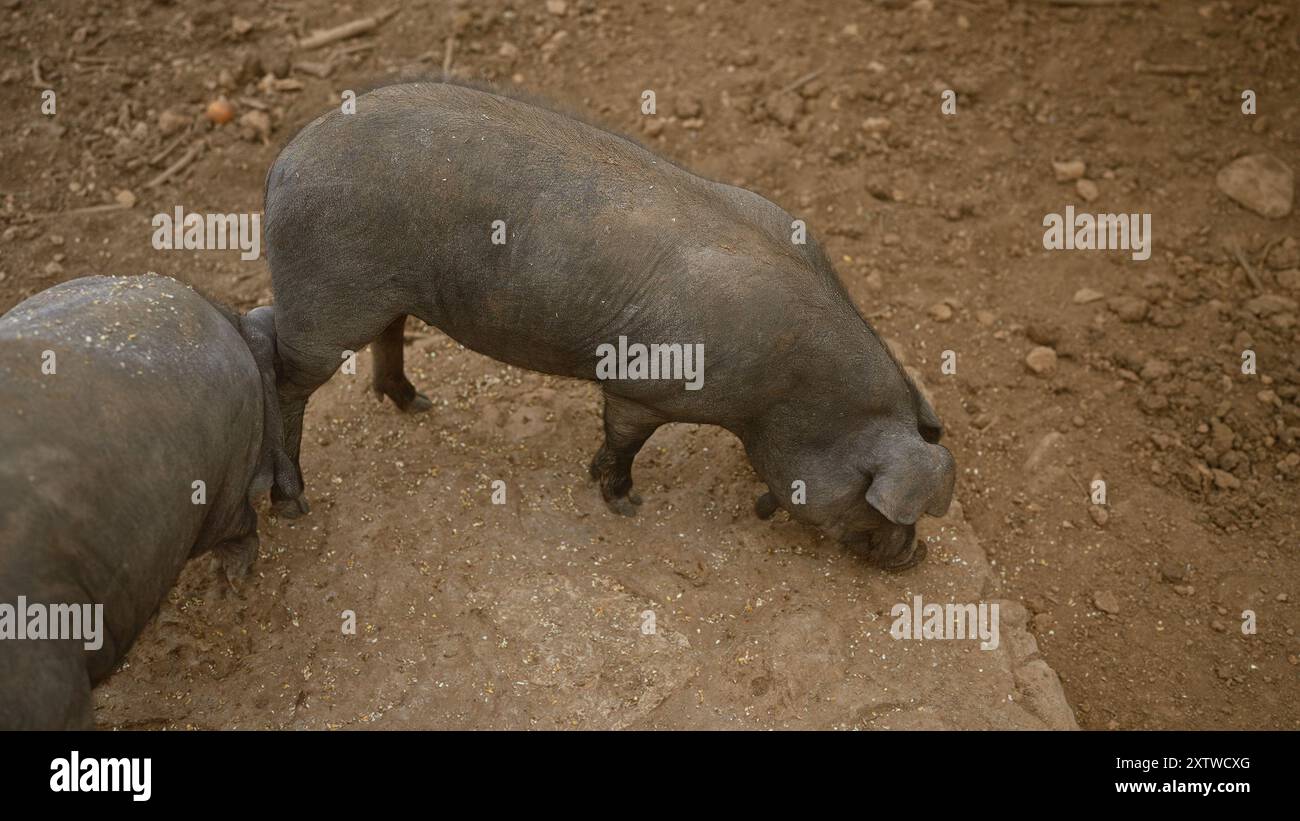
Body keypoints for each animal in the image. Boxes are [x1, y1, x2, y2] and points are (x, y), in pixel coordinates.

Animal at [264, 80, 955, 570]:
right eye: (879, 506)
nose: (915, 558)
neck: (785, 395)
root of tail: (283, 163)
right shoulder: (642, 385)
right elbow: (626, 441)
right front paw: (626, 504)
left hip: (381, 296)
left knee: (389, 335)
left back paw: (417, 404)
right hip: (323, 302)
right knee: (285, 380)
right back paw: (294, 503)